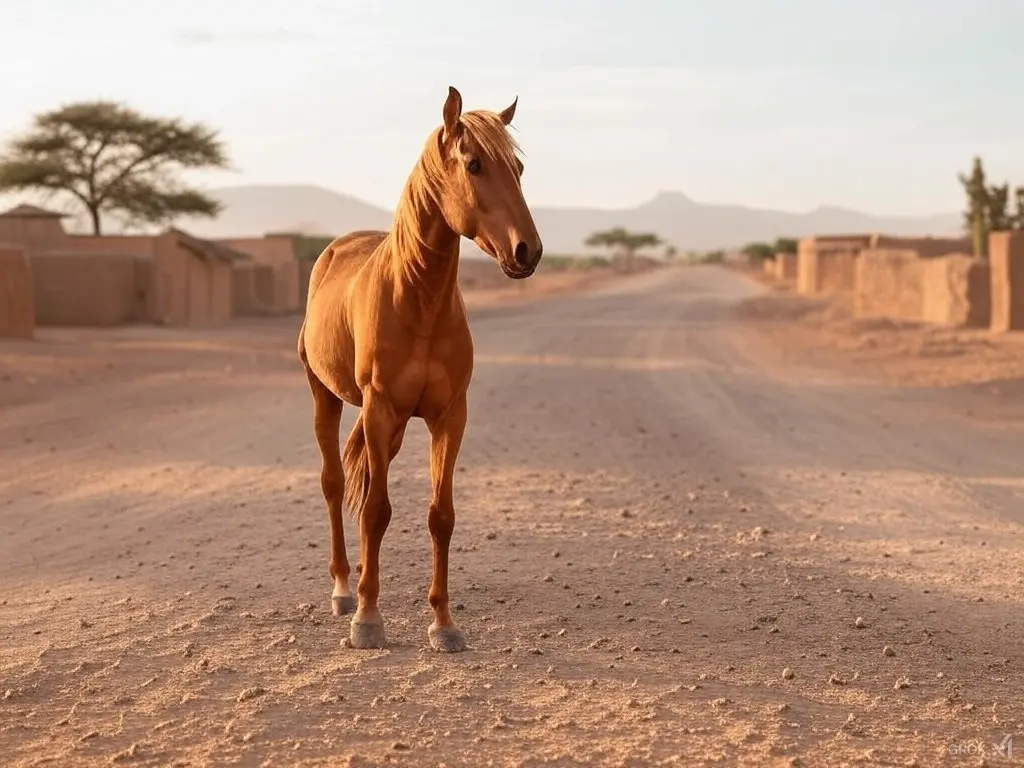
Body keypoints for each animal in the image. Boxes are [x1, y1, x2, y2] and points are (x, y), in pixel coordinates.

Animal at [297, 87, 543, 652]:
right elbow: (376, 511)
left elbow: (440, 516)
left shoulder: (449, 416)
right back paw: (344, 589)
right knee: (334, 484)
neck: (417, 300)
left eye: (518, 167)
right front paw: (368, 620)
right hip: (327, 398)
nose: (528, 251)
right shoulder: (379, 408)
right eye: (473, 164)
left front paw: (444, 624)